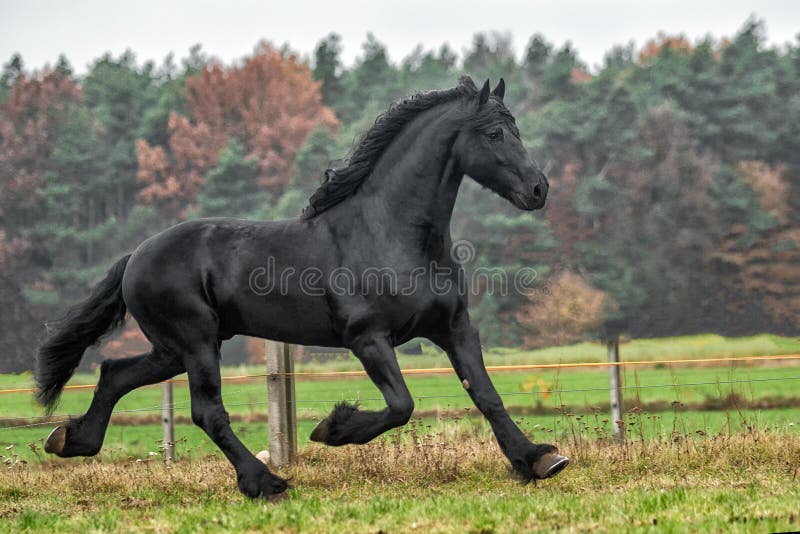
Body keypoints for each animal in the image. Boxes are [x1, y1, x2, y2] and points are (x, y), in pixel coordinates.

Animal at [35, 76, 568, 499]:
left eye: (517, 130)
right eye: (495, 133)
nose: (539, 190)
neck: (391, 233)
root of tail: (136, 256)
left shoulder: (454, 327)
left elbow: (486, 394)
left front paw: (539, 459)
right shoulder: (367, 338)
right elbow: (401, 404)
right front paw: (333, 428)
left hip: (173, 350)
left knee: (114, 374)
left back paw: (70, 441)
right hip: (196, 343)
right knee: (207, 411)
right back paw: (265, 483)